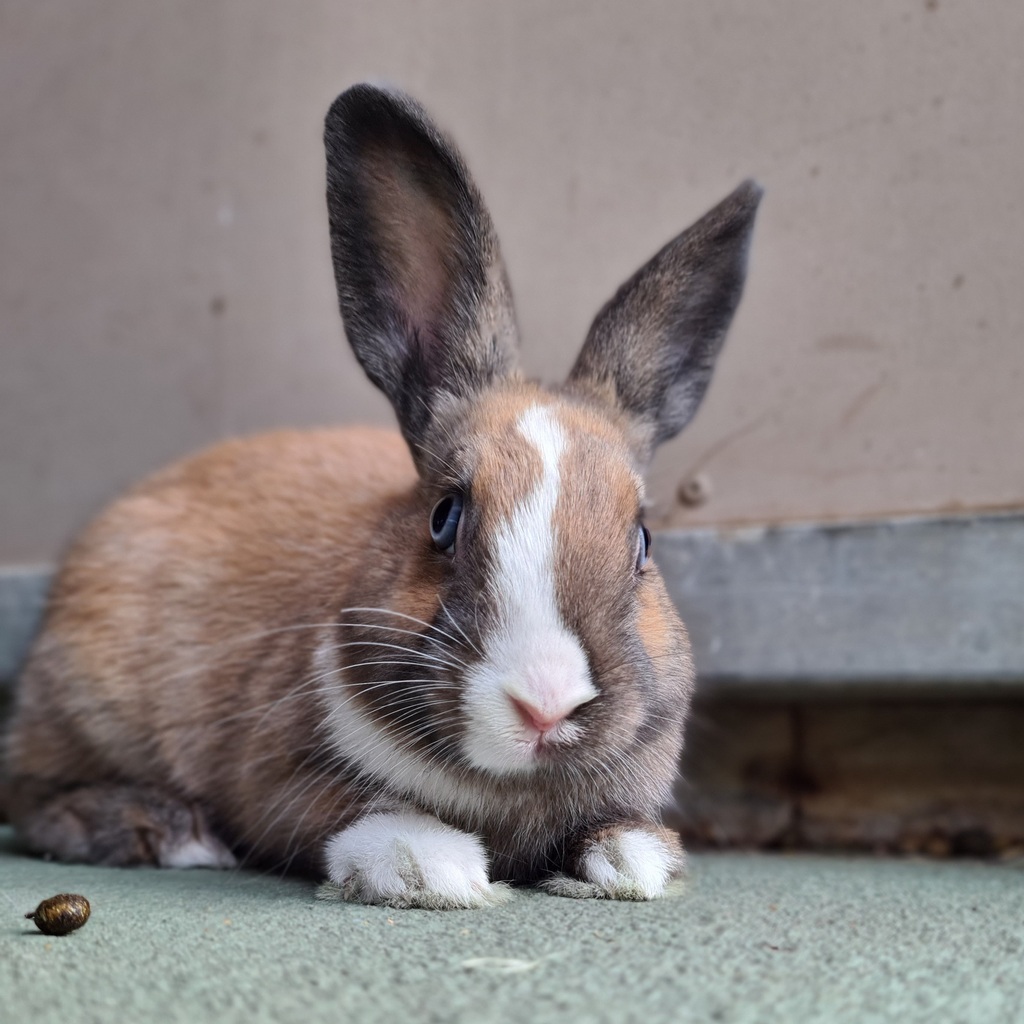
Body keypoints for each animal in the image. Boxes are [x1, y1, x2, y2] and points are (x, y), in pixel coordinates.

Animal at [4, 84, 761, 908]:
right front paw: (434, 869)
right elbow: (356, 811)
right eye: (445, 516)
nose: (545, 705)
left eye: (643, 539)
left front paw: (633, 862)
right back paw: (173, 835)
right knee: (32, 796)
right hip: (86, 705)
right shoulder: (281, 780)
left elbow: (621, 831)